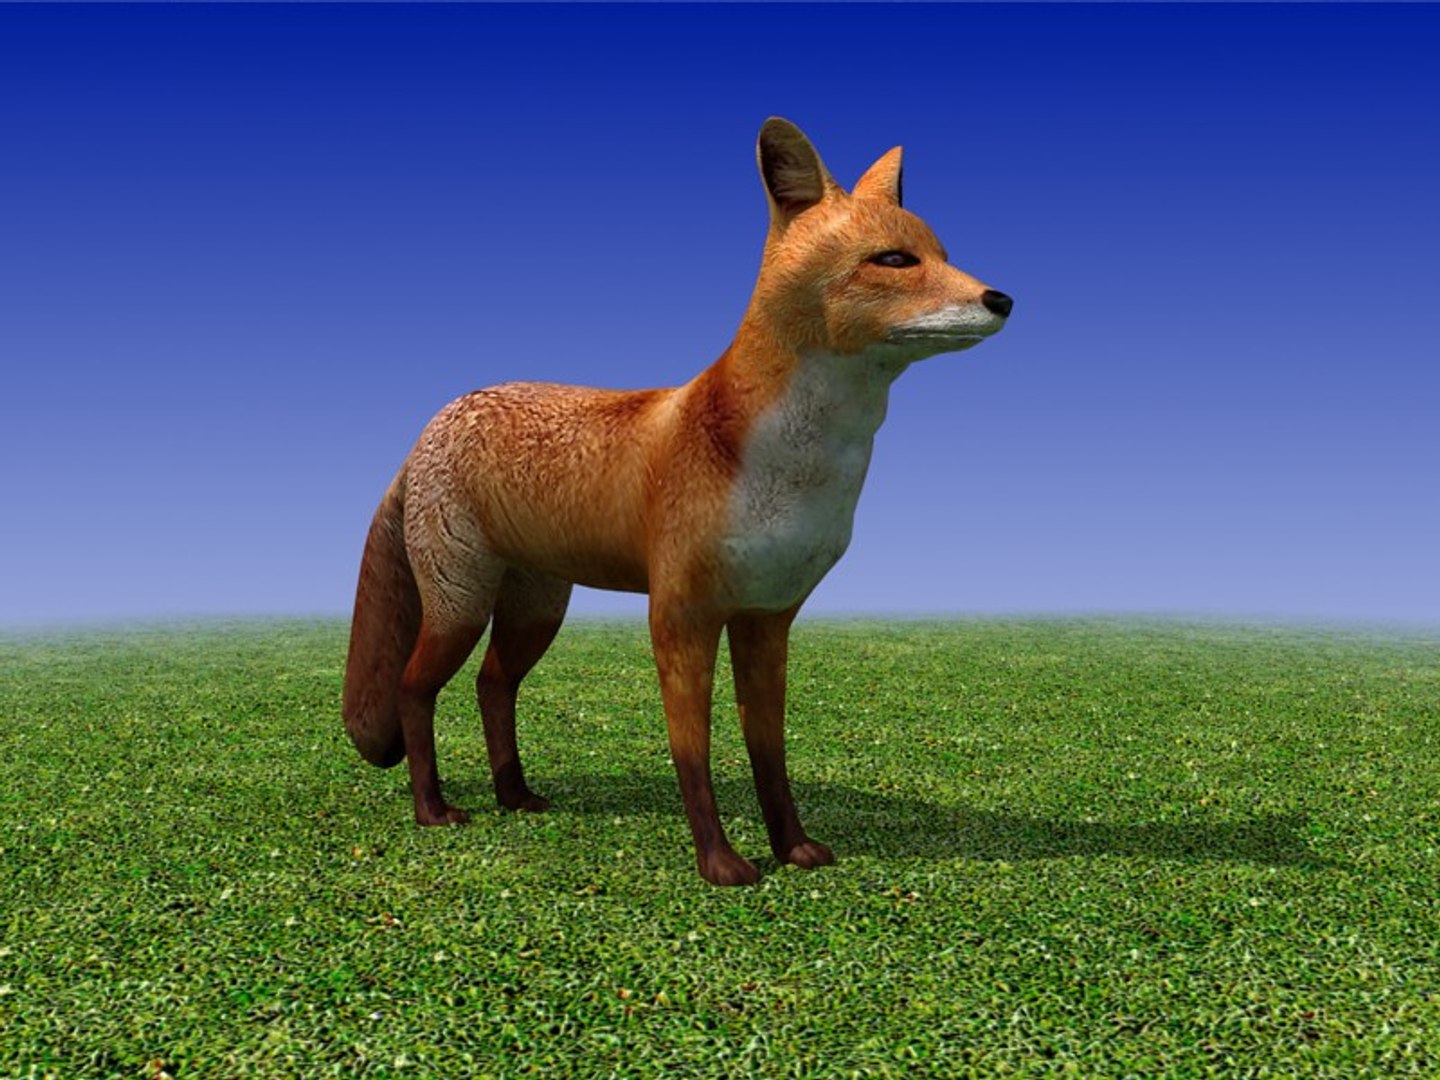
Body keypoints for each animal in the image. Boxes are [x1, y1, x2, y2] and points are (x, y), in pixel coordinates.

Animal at [342, 117, 1012, 886]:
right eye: (896, 260)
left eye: (942, 254)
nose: (1001, 299)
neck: (789, 470)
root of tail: (439, 416)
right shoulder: (680, 615)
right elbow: (692, 751)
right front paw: (720, 863)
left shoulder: (767, 617)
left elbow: (768, 751)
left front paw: (794, 848)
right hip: (462, 605)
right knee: (414, 689)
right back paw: (433, 808)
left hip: (535, 611)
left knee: (492, 687)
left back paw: (515, 795)